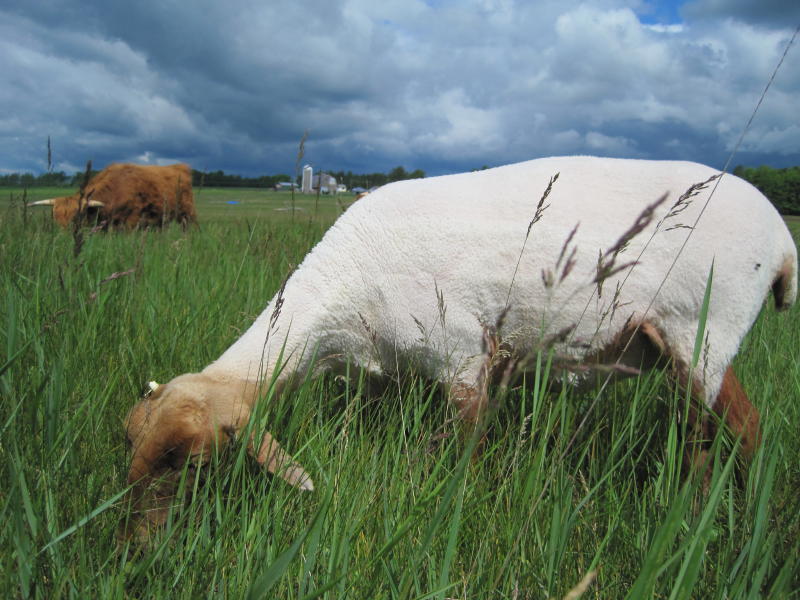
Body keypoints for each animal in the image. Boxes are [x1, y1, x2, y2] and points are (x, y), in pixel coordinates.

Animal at [122, 156, 797, 540]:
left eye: (190, 464)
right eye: (128, 442)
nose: (135, 549)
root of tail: (784, 243)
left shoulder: (462, 353)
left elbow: (461, 449)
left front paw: (451, 499)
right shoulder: (380, 370)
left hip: (705, 332)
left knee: (732, 431)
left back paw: (707, 513)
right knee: (723, 432)